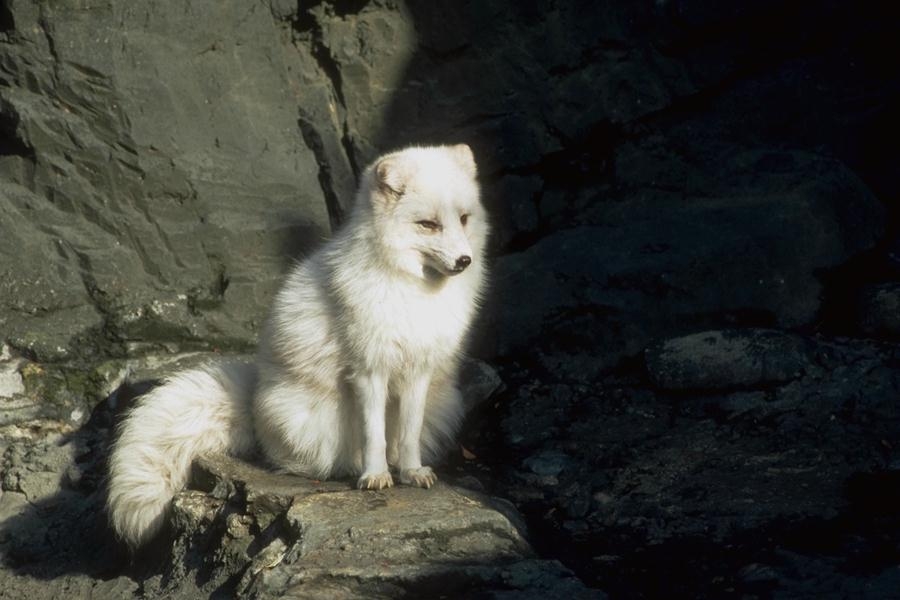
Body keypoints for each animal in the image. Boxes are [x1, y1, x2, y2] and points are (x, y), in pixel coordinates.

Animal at [107, 144, 489, 548]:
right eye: (428, 224)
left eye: (464, 219)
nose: (464, 260)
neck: (413, 291)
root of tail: (254, 396)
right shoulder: (368, 370)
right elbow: (375, 434)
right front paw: (374, 475)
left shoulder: (418, 369)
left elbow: (408, 432)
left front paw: (412, 471)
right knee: (293, 459)